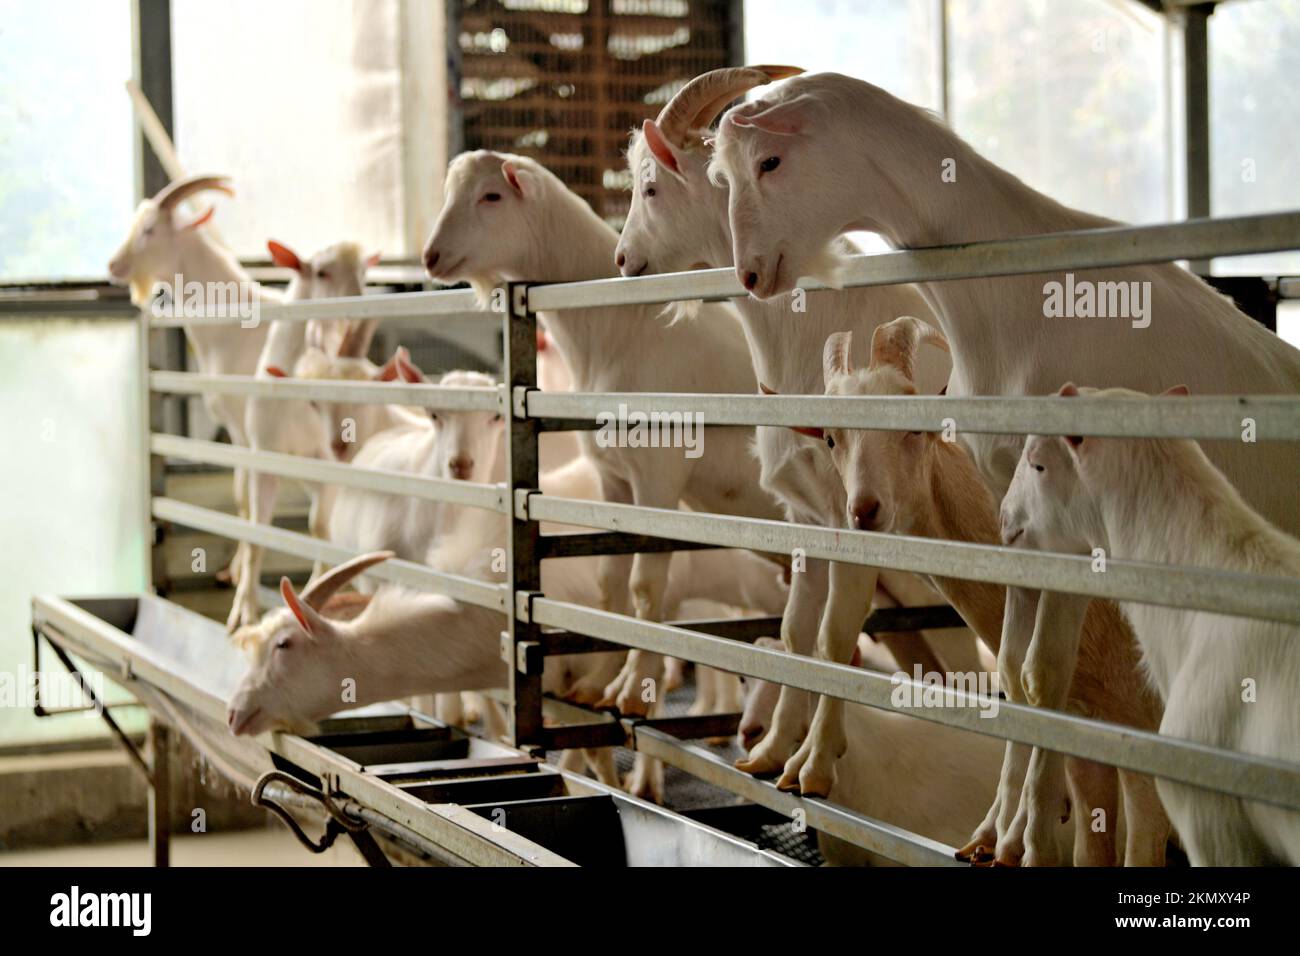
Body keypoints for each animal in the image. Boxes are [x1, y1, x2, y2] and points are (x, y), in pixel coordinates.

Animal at [226, 240, 379, 630]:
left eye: (364, 272)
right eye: (321, 272)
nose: (356, 304)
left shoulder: (327, 465)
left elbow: (319, 528)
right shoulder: (263, 457)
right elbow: (256, 532)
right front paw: (243, 612)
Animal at [420, 150, 789, 745]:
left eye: (491, 196)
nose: (430, 257)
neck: (620, 327)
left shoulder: (659, 475)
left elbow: (645, 586)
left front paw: (635, 690)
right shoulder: (612, 478)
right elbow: (610, 585)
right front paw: (599, 684)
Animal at [617, 66, 978, 797]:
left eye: (650, 185)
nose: (621, 258)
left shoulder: (853, 516)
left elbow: (834, 639)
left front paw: (815, 764)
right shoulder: (806, 517)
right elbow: (795, 636)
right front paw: (771, 753)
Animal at [817, 317, 1168, 865]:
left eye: (914, 427)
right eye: (832, 439)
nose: (864, 510)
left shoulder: (1145, 735)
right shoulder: (1087, 735)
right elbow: (1092, 846)